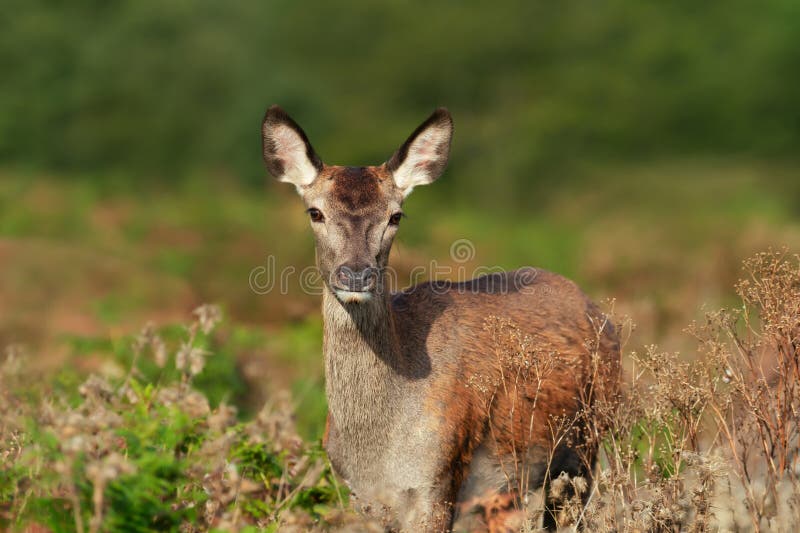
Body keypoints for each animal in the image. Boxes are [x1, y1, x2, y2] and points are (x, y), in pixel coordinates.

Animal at [261, 105, 621, 532]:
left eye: (396, 216)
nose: (356, 274)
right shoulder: (361, 498)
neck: (376, 454)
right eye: (315, 212)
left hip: (587, 441)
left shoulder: (439, 478)